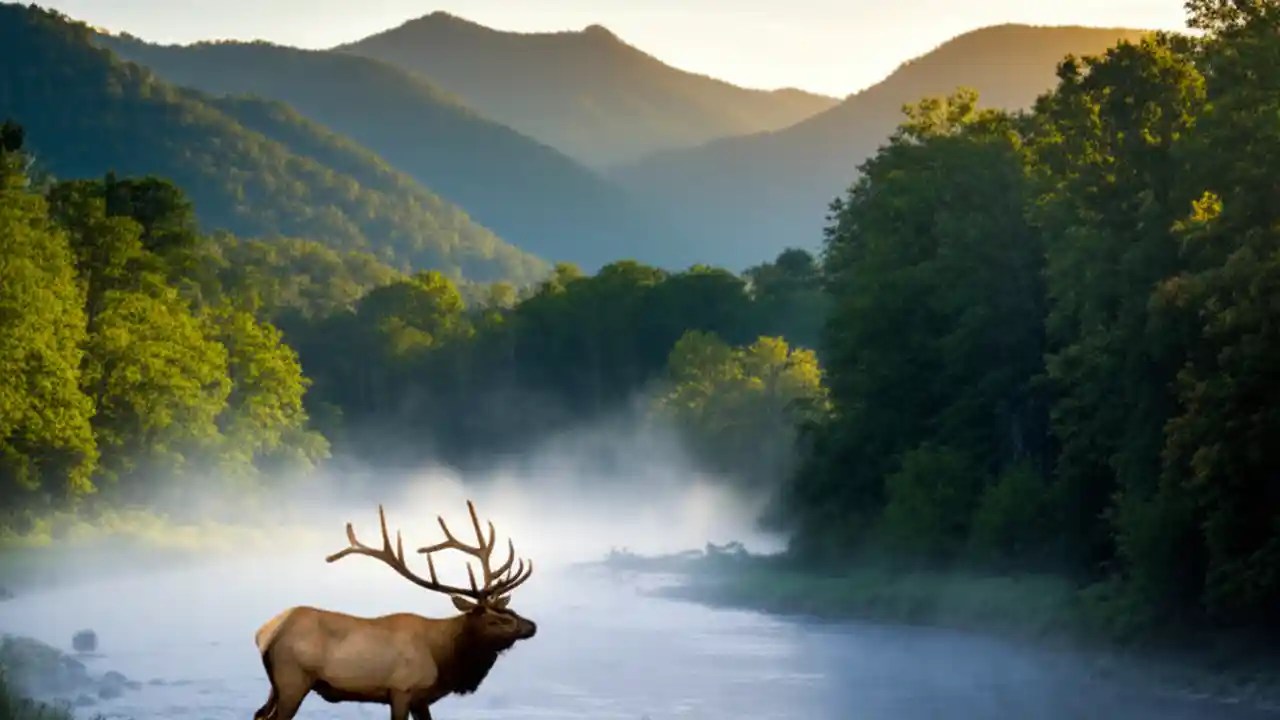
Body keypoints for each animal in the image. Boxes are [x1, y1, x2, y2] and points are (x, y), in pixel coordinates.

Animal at [252, 500, 537, 720]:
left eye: (511, 612)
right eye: (495, 620)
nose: (532, 626)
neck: (444, 658)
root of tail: (264, 634)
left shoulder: (421, 699)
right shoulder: (401, 689)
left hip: (276, 686)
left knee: (259, 715)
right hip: (292, 679)